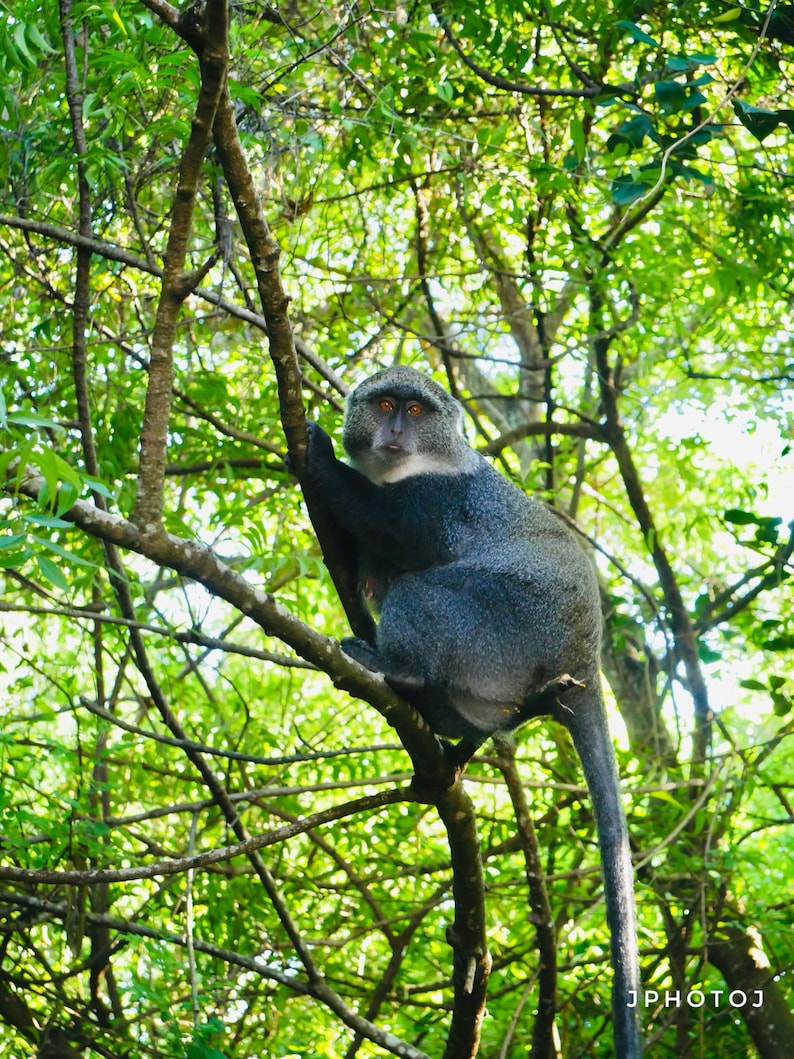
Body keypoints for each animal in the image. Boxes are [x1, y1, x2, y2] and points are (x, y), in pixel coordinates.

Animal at [301, 365, 642, 1058]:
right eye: (383, 404)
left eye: (413, 409)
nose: (394, 431)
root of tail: (585, 657)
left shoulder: (441, 499)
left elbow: (391, 526)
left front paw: (315, 450)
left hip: (502, 621)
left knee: (421, 593)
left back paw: (396, 668)